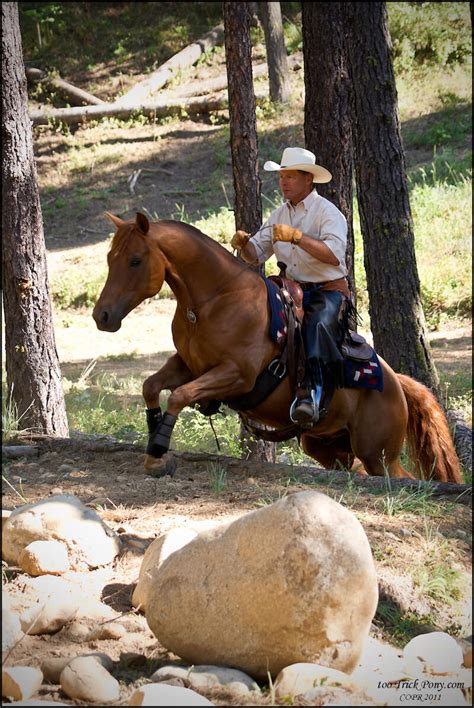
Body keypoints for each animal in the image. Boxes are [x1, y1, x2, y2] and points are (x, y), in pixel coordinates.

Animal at [92, 212, 462, 484]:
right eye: (110, 258)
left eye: (136, 260)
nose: (102, 315)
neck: (215, 300)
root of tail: (396, 382)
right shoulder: (187, 364)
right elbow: (151, 386)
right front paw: (154, 445)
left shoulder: (236, 375)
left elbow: (180, 395)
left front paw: (158, 451)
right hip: (328, 447)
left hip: (379, 454)